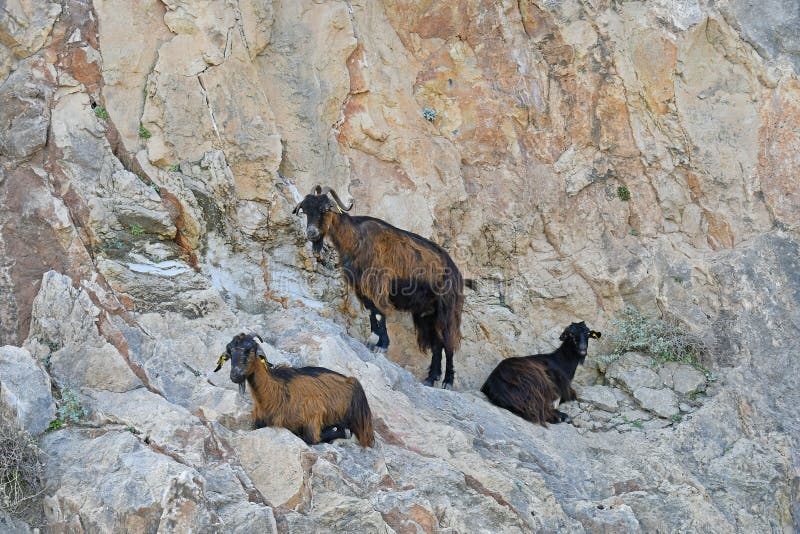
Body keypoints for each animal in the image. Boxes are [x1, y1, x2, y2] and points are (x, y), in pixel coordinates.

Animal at [214, 333, 375, 447]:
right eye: (229, 352)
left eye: (250, 349)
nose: (235, 375)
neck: (275, 393)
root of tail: (351, 381)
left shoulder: (313, 414)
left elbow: (310, 438)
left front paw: (338, 431)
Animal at [293, 185, 464, 389]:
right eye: (305, 210)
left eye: (325, 208)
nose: (311, 233)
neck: (356, 239)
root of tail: (456, 272)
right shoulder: (360, 286)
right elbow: (371, 311)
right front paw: (373, 340)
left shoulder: (377, 283)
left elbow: (379, 312)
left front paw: (382, 345)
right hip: (426, 314)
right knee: (437, 344)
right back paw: (431, 378)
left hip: (447, 308)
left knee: (448, 342)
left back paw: (448, 381)